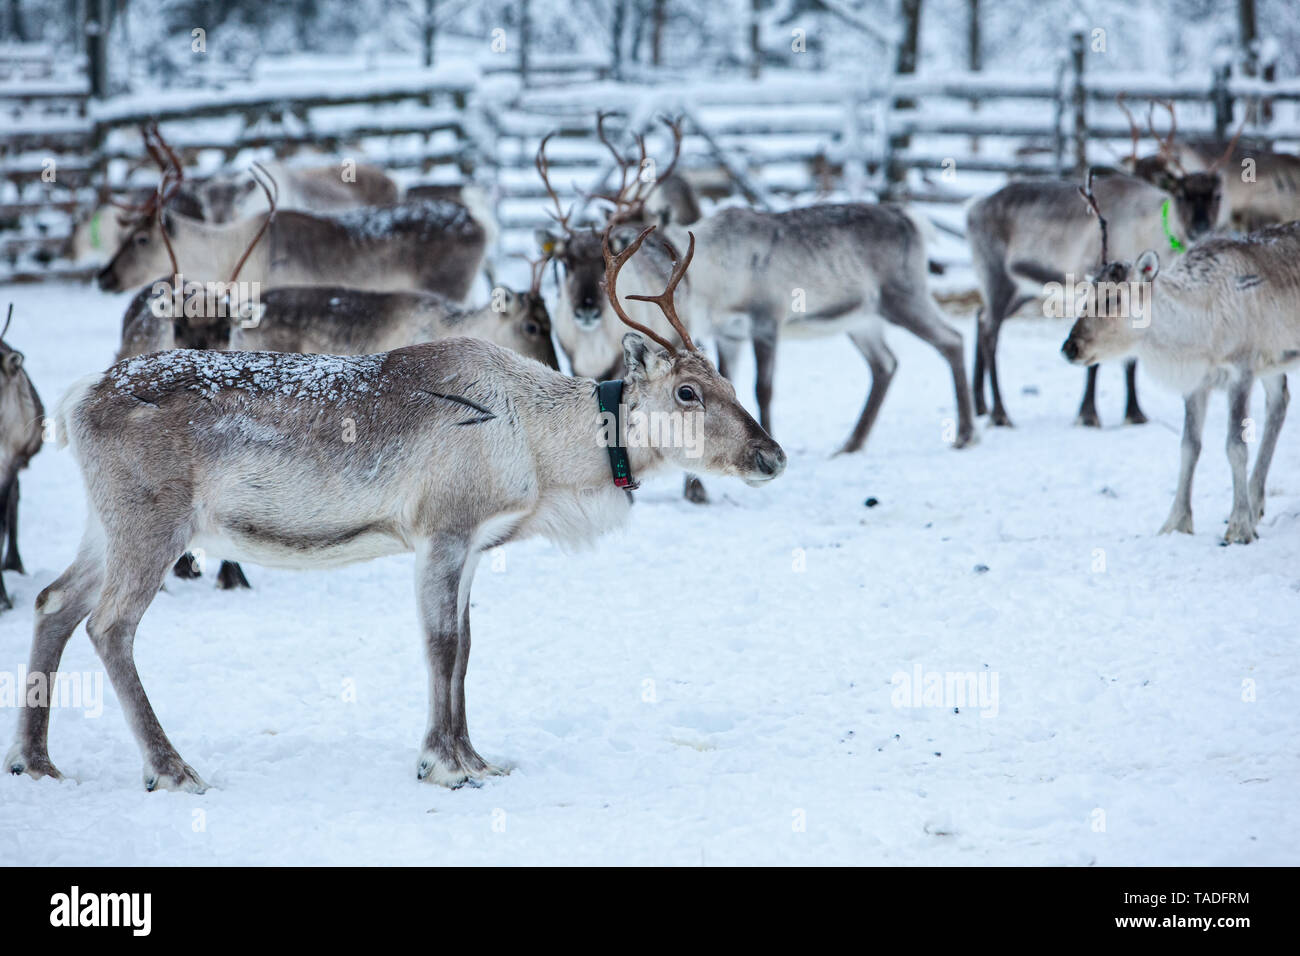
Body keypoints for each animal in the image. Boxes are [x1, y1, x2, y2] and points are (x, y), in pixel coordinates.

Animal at [4, 218, 784, 792]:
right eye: (687, 392)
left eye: (726, 381)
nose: (770, 455)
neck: (544, 454)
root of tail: (76, 399)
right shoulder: (442, 529)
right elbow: (441, 647)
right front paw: (443, 764)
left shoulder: (474, 545)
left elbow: (466, 647)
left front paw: (476, 756)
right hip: (152, 522)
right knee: (110, 626)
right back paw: (171, 769)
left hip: (105, 524)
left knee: (54, 602)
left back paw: (36, 760)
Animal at [1061, 206, 1300, 544]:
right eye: (1085, 298)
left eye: (1111, 300)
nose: (1070, 347)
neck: (1196, 338)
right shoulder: (1197, 382)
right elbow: (1189, 447)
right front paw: (1176, 522)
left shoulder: (1241, 369)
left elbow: (1235, 447)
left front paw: (1239, 527)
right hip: (1273, 363)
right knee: (1280, 401)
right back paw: (1257, 505)